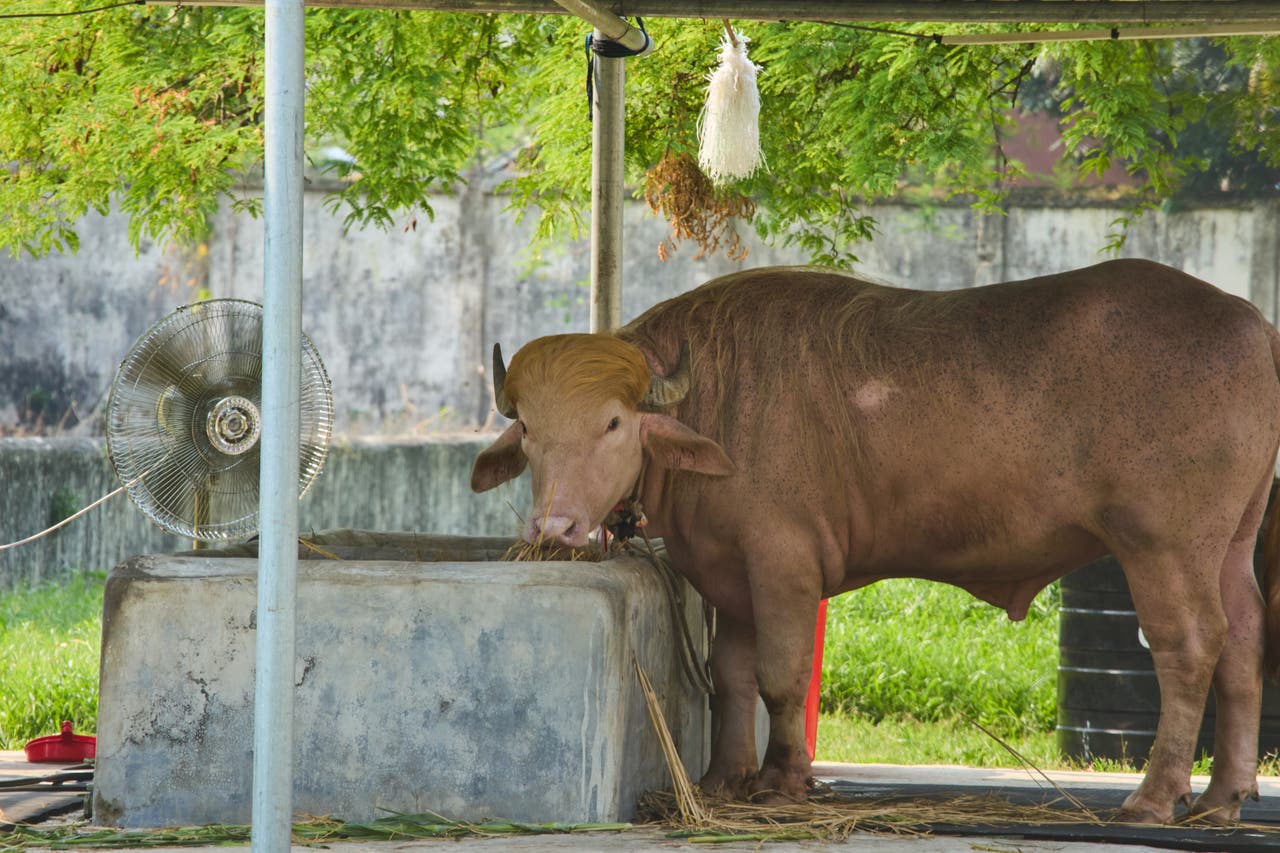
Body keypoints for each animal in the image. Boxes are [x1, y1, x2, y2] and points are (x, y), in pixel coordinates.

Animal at [471, 259, 1280, 824]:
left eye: (612, 423)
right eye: (530, 430)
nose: (555, 528)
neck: (721, 400)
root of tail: (1250, 321)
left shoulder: (783, 564)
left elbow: (780, 675)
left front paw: (783, 779)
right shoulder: (729, 574)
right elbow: (732, 675)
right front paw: (725, 779)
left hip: (1163, 545)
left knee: (1190, 647)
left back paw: (1157, 795)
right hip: (1231, 543)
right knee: (1244, 639)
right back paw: (1222, 795)